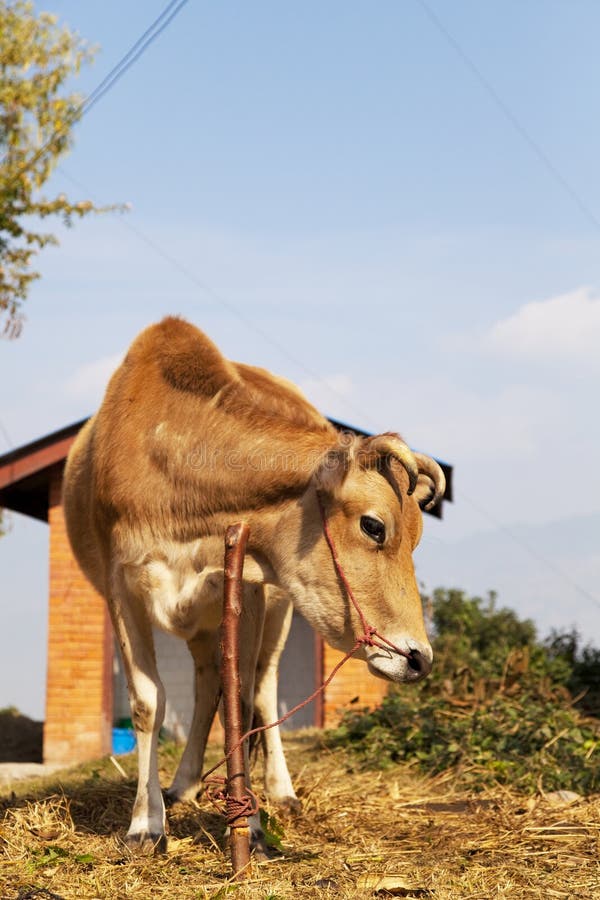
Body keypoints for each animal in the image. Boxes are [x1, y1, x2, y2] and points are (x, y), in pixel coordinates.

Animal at [62, 316, 445, 853]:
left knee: (260, 687)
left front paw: (252, 826)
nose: (419, 658)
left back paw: (279, 790)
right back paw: (182, 784)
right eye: (374, 525)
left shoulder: (249, 588)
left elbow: (242, 702)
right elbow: (147, 702)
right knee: (206, 685)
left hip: (277, 612)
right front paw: (145, 822)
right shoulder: (121, 585)